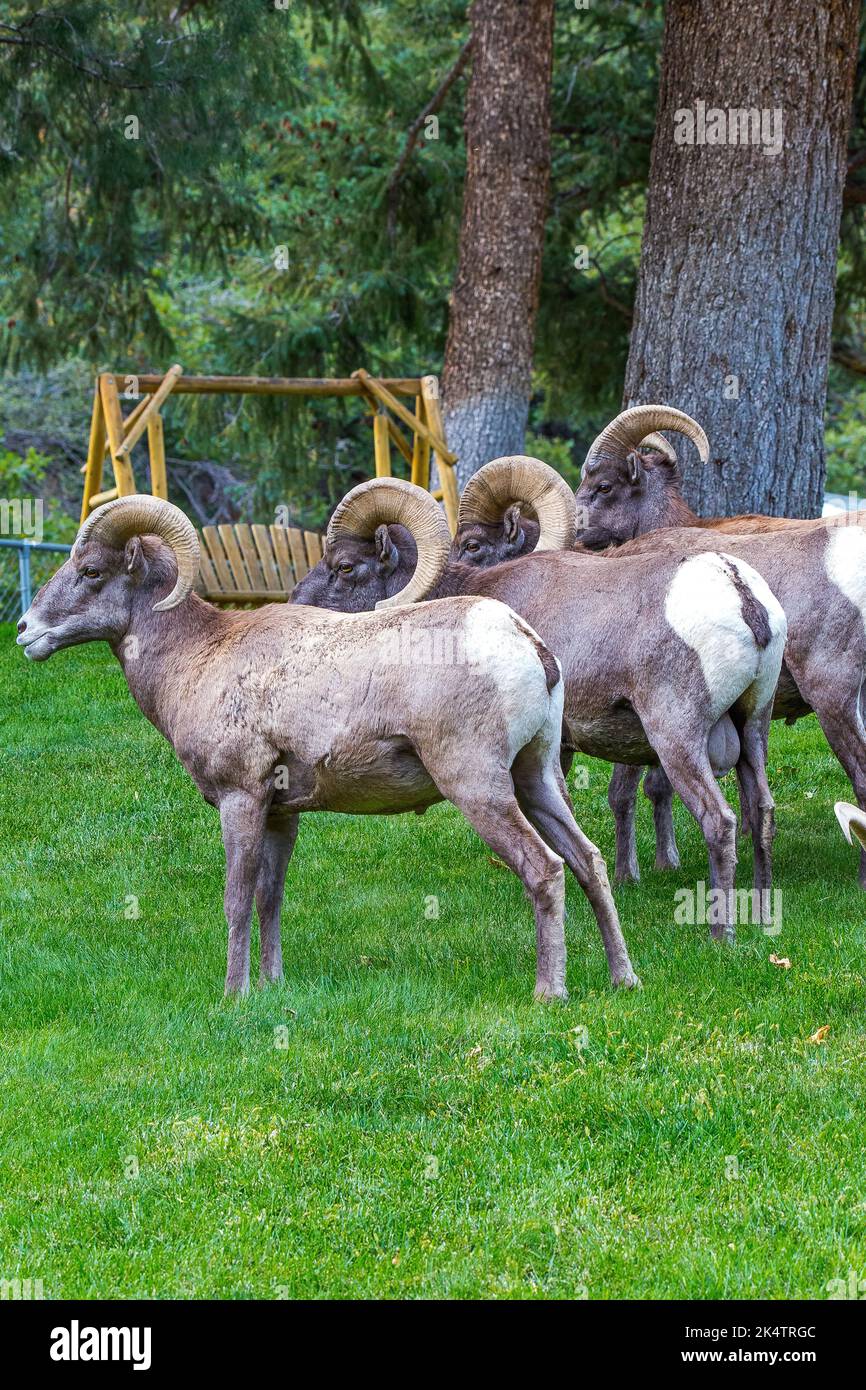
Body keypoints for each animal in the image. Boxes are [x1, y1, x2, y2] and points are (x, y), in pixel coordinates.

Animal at [15, 494, 640, 1001]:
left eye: (91, 570)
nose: (24, 631)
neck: (197, 656)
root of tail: (528, 644)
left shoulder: (240, 800)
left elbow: (237, 899)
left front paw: (234, 995)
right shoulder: (280, 815)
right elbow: (269, 897)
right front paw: (272, 986)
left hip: (477, 787)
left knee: (545, 868)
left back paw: (549, 993)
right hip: (536, 779)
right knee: (588, 861)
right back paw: (623, 979)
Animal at [293, 473, 788, 939]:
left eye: (344, 566)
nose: (295, 605)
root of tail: (740, 594)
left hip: (677, 739)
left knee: (719, 821)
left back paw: (721, 935)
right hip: (752, 727)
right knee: (761, 809)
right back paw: (761, 914)